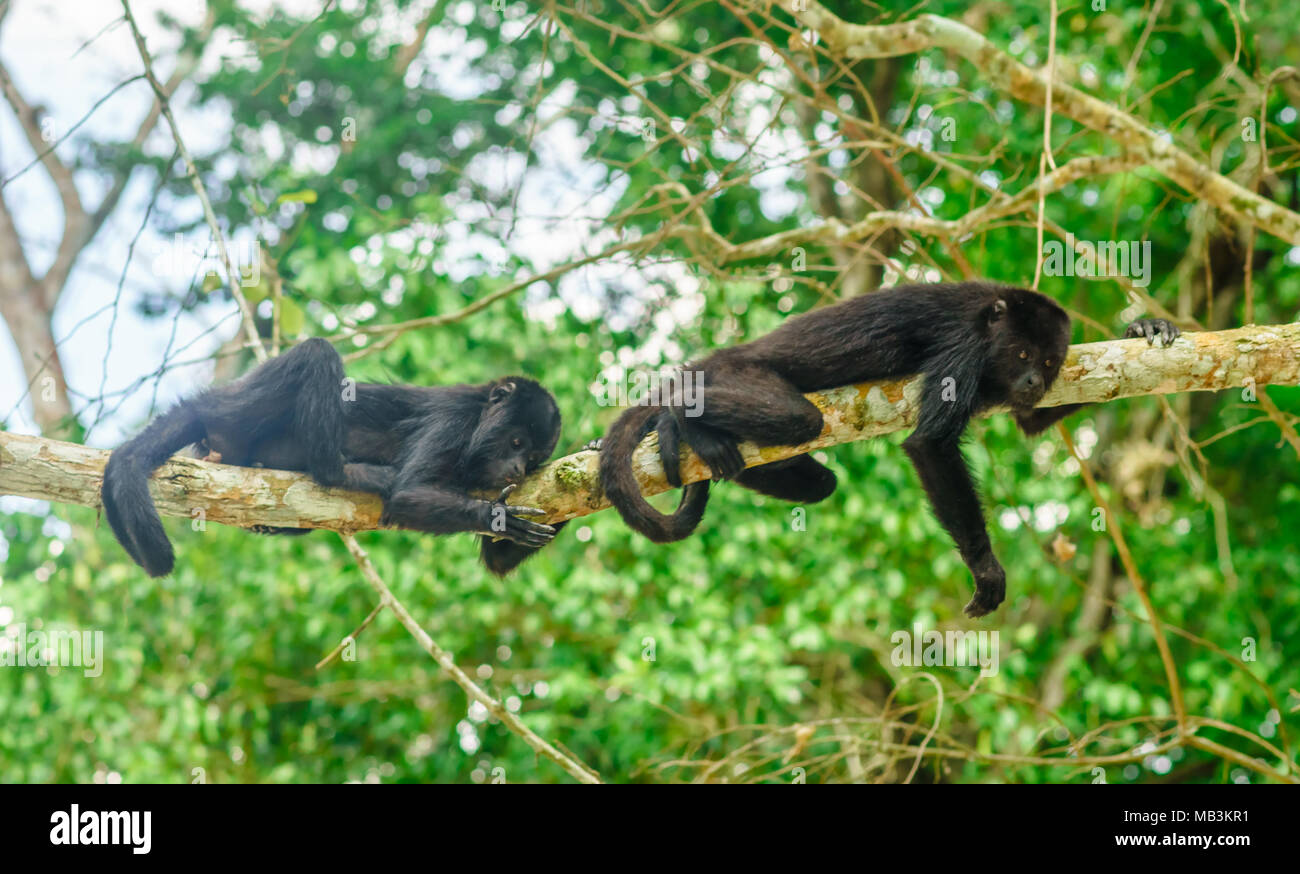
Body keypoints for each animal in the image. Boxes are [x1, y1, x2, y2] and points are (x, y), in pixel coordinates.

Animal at [101, 338, 563, 579]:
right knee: (316, 353)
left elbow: (496, 561)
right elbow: (409, 494)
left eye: (535, 459)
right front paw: (497, 518)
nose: (518, 468)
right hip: (240, 410)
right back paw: (338, 470)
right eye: (516, 442)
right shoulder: (454, 422)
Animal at [597, 281, 1180, 618]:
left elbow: (1029, 422)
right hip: (741, 372)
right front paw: (985, 567)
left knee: (820, 482)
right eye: (1021, 353)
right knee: (799, 419)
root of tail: (721, 355)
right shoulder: (965, 347)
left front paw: (1143, 326)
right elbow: (931, 445)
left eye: (1052, 361)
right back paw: (679, 412)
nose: (1036, 380)